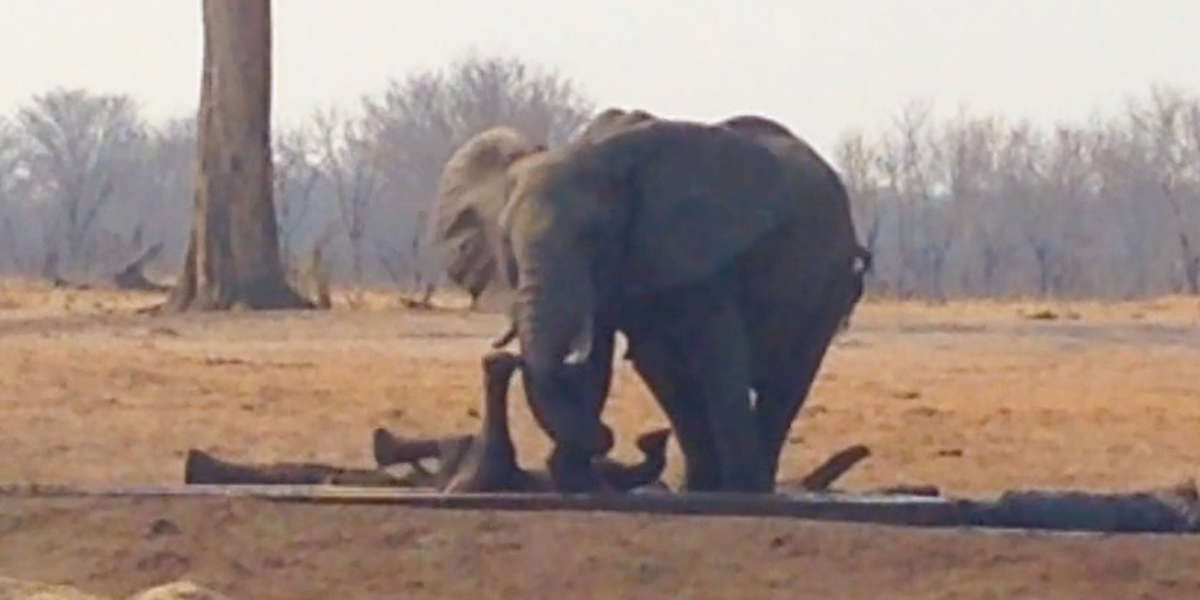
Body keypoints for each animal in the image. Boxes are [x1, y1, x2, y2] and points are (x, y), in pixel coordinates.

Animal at [433, 109, 868, 493]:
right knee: (669, 374)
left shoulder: (700, 252)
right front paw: (579, 481)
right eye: (506, 241)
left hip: (830, 282)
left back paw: (750, 487)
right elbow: (605, 358)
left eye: (594, 237)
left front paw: (739, 491)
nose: (640, 437)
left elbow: (718, 356)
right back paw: (700, 485)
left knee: (786, 380)